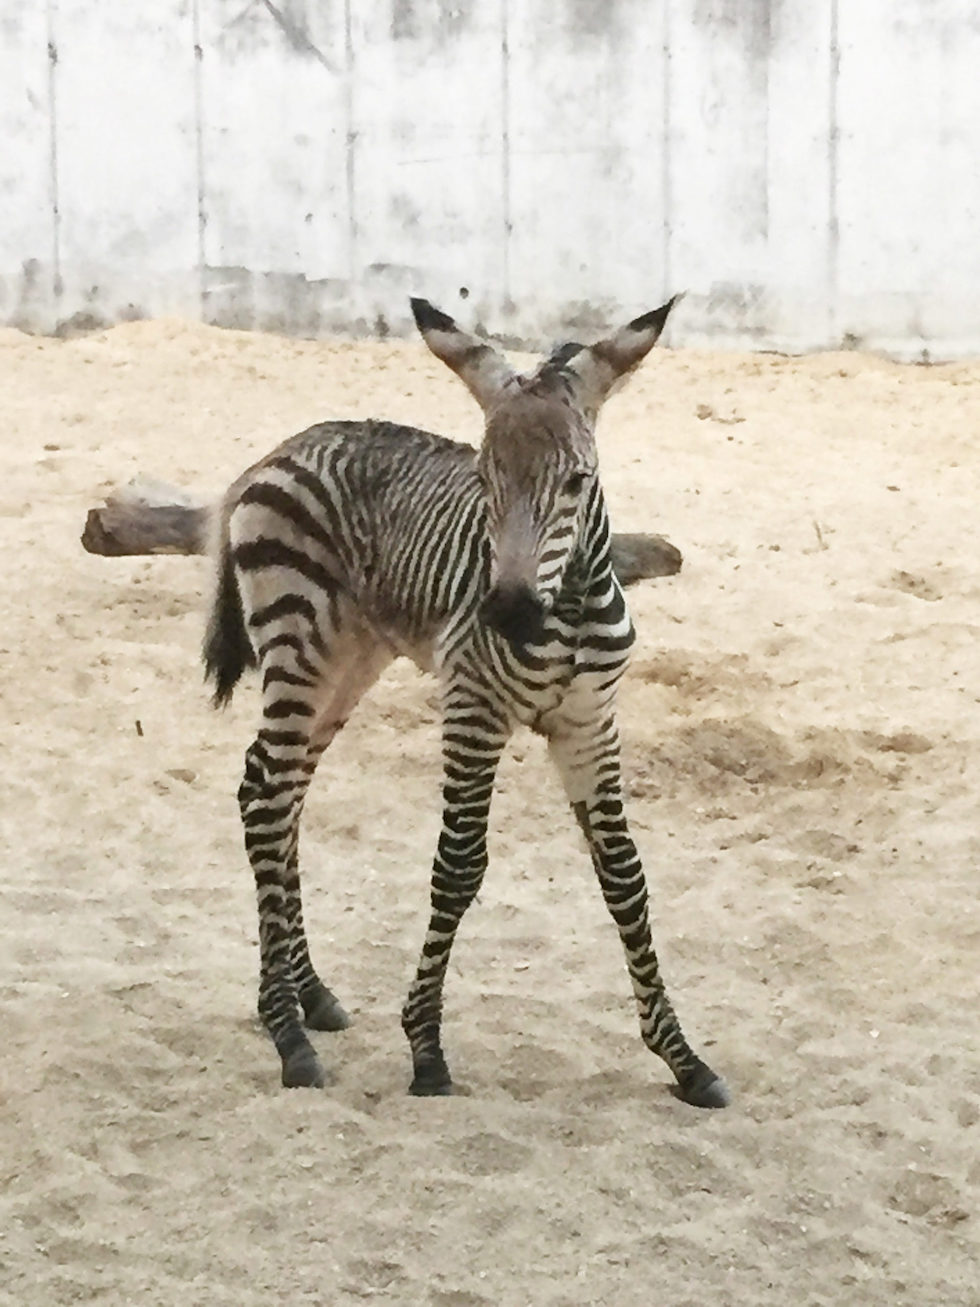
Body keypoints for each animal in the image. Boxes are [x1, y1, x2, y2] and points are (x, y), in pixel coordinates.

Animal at [203, 295, 730, 1109]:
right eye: (483, 478)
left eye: (578, 481)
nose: (508, 612)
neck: (564, 613)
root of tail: (278, 451)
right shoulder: (473, 709)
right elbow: (458, 866)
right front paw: (425, 1048)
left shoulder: (590, 722)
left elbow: (624, 874)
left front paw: (682, 1057)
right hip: (299, 645)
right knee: (266, 799)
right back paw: (288, 1033)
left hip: (347, 665)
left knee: (273, 788)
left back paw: (309, 995)